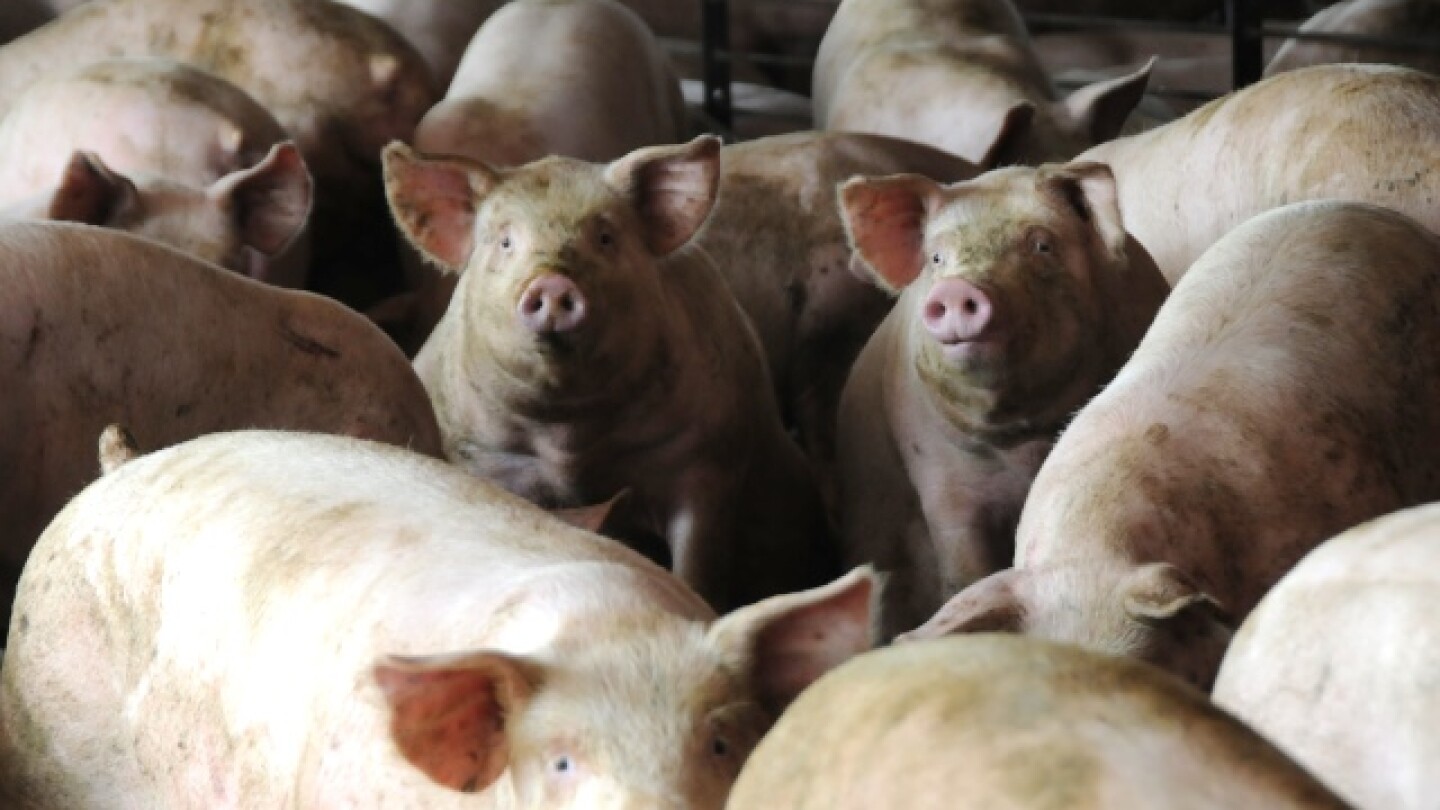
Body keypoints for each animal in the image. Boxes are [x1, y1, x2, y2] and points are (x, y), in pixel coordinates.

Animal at [386, 136, 838, 613]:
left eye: (605, 237)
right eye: (505, 241)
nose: (552, 284)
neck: (569, 441)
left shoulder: (707, 462)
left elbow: (697, 565)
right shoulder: (486, 460)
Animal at [834, 162, 1169, 639]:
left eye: (1042, 245)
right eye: (937, 259)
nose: (957, 289)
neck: (1022, 438)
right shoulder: (942, 482)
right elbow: (966, 570)